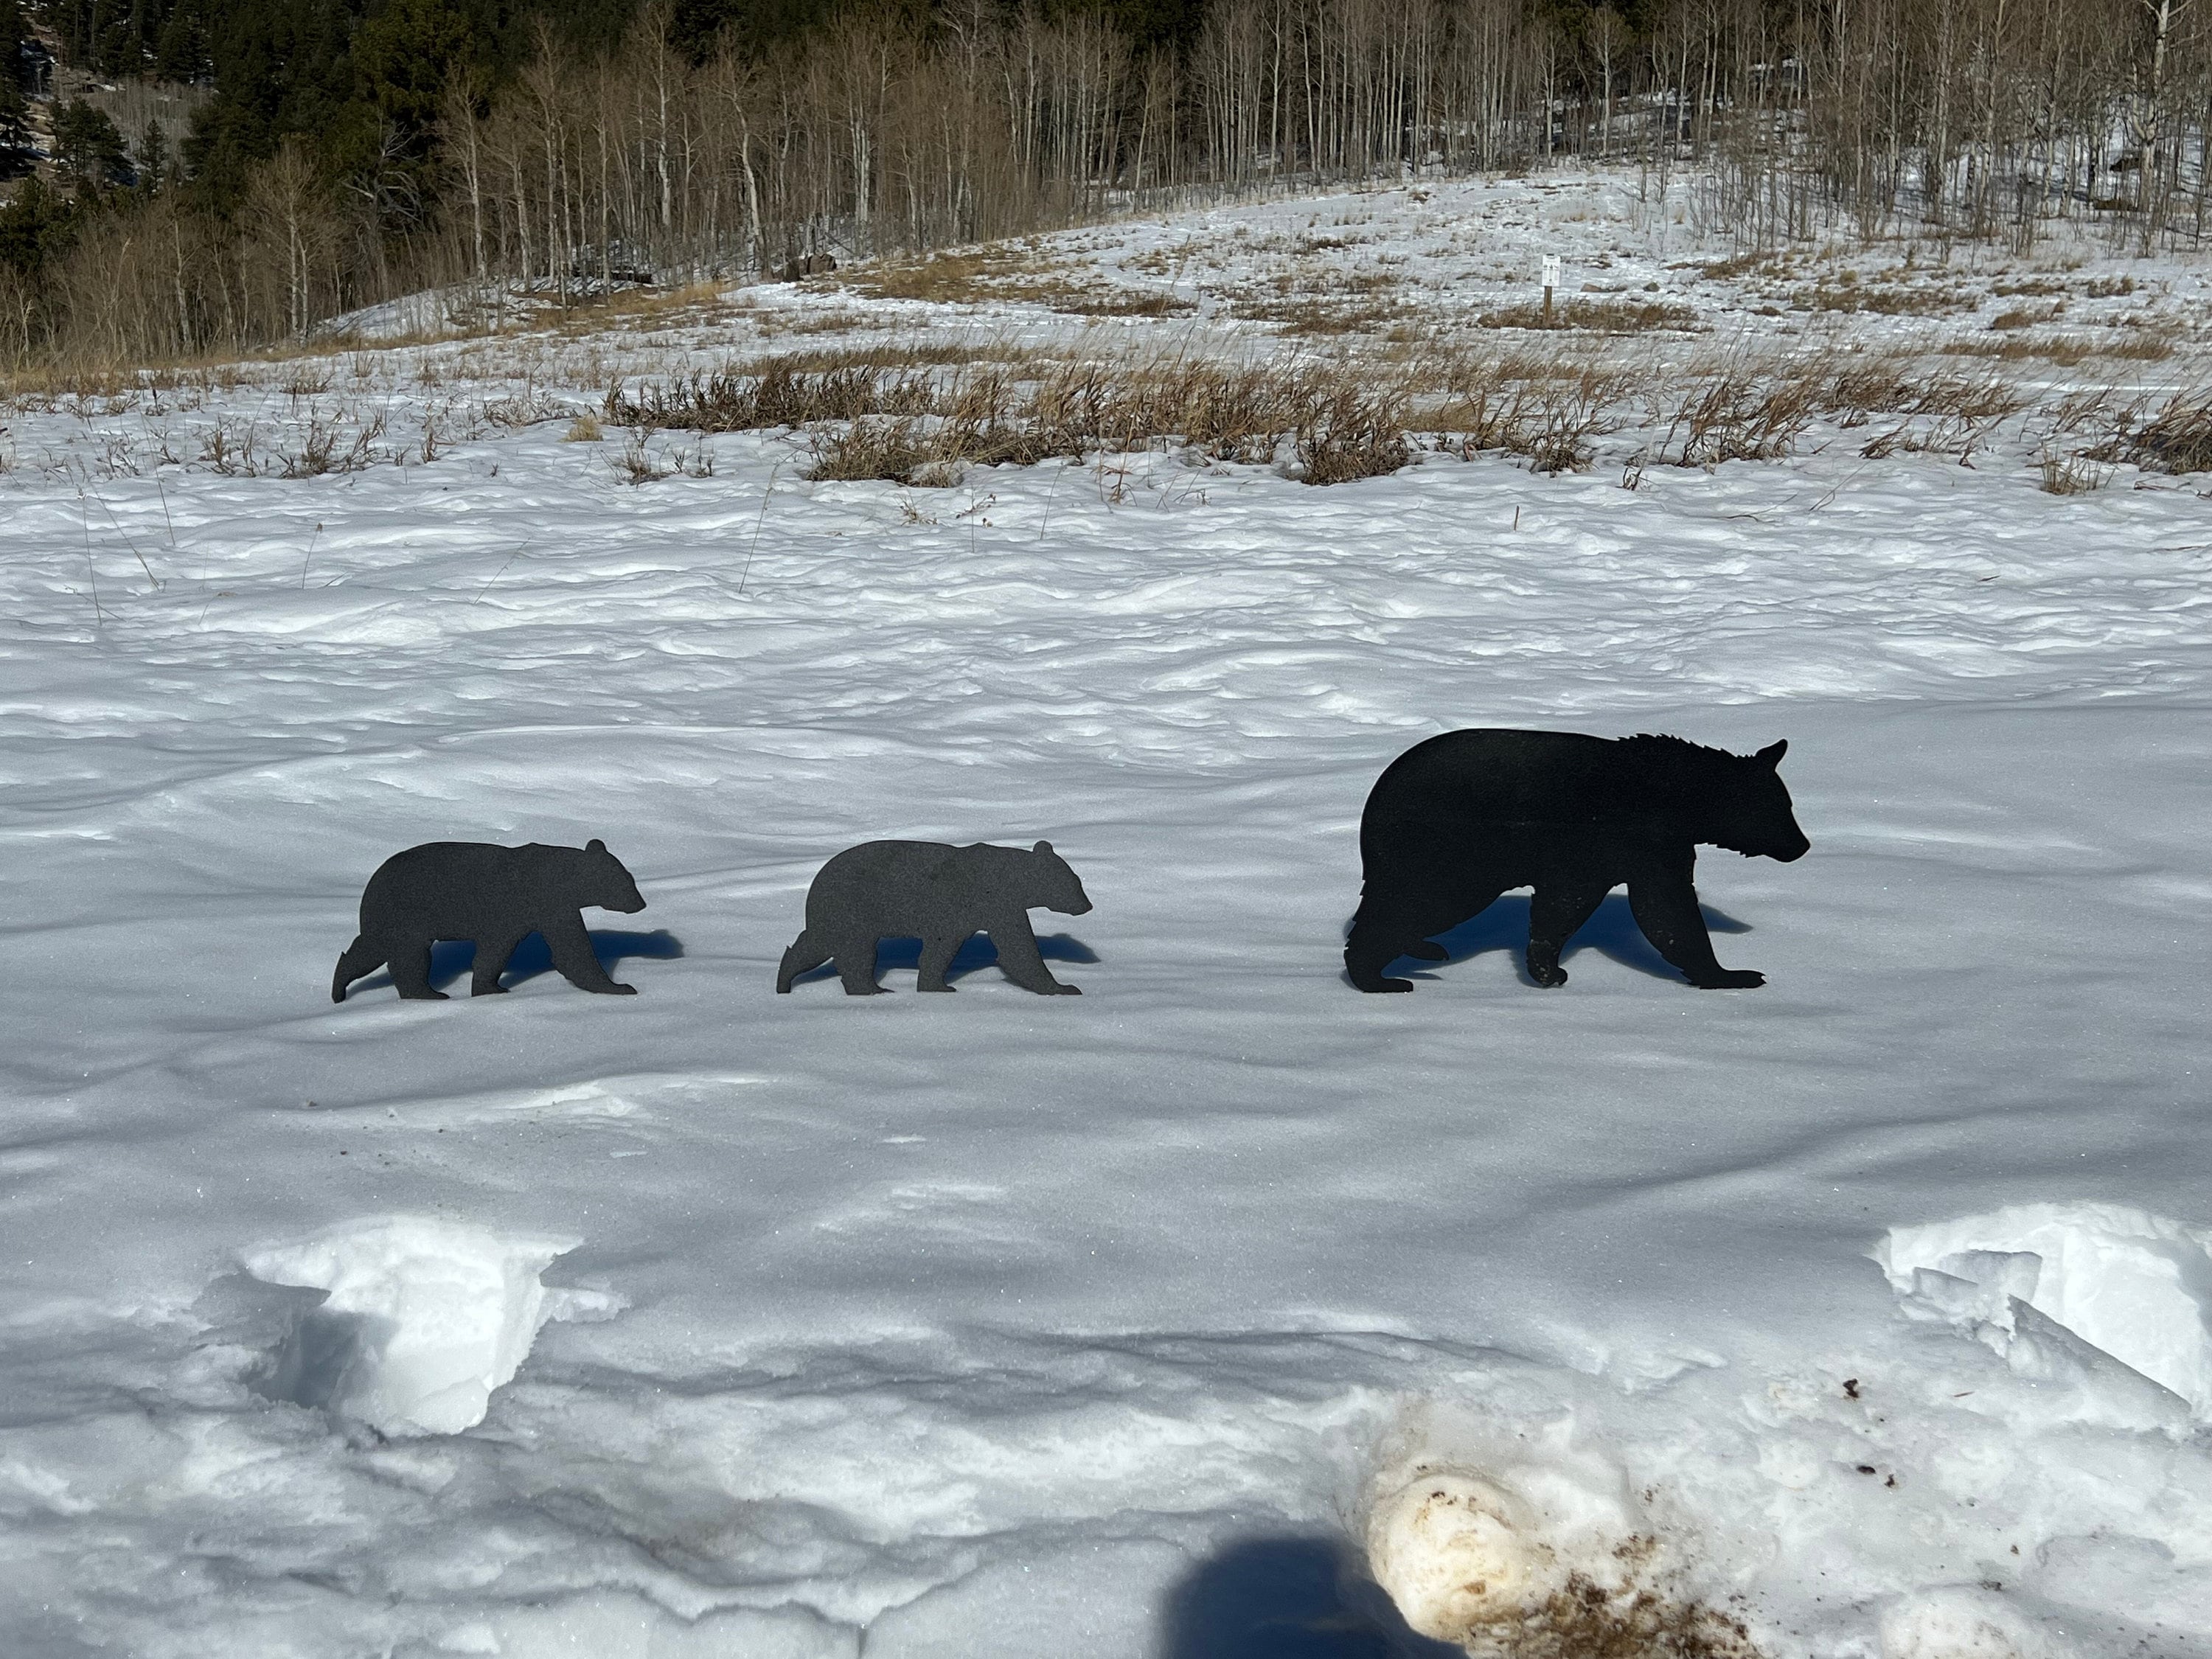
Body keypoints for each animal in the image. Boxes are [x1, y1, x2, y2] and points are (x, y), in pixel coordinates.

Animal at [332, 839, 648, 1002]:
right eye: (626, 881)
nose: (641, 903)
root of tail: (372, 881)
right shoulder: (541, 904)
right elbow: (570, 949)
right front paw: (621, 987)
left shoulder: (535, 913)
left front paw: (488, 988)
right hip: (405, 914)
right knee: (407, 956)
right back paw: (428, 994)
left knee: (371, 949)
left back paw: (341, 987)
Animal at [776, 839, 1093, 996]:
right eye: (1074, 882)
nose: (1087, 905)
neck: (1012, 880)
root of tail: (817, 879)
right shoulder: (993, 904)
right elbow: (1017, 950)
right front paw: (1065, 988)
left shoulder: (986, 912)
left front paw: (935, 985)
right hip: (852, 909)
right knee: (854, 952)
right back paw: (871, 989)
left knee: (819, 944)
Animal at [1344, 729, 1809, 994]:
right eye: (1782, 808)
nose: (1802, 845)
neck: (1679, 800)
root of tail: (1373, 801)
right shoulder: (1637, 841)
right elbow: (1666, 910)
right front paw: (1734, 974)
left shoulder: (1613, 855)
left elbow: (1575, 907)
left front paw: (1545, 968)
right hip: (1449, 852)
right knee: (1417, 903)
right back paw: (1379, 978)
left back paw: (1420, 948)